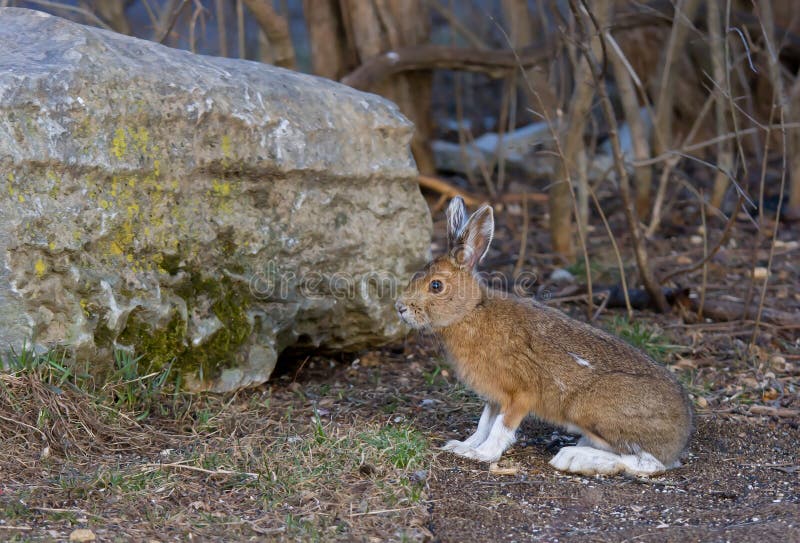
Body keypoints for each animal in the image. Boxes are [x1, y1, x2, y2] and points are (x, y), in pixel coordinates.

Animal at [395, 197, 693, 477]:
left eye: (436, 285)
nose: (400, 307)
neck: (471, 311)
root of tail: (679, 437)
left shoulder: (520, 394)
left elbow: (501, 428)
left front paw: (482, 455)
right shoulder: (494, 398)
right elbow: (483, 424)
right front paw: (462, 446)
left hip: (589, 409)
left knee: (648, 462)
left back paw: (575, 459)